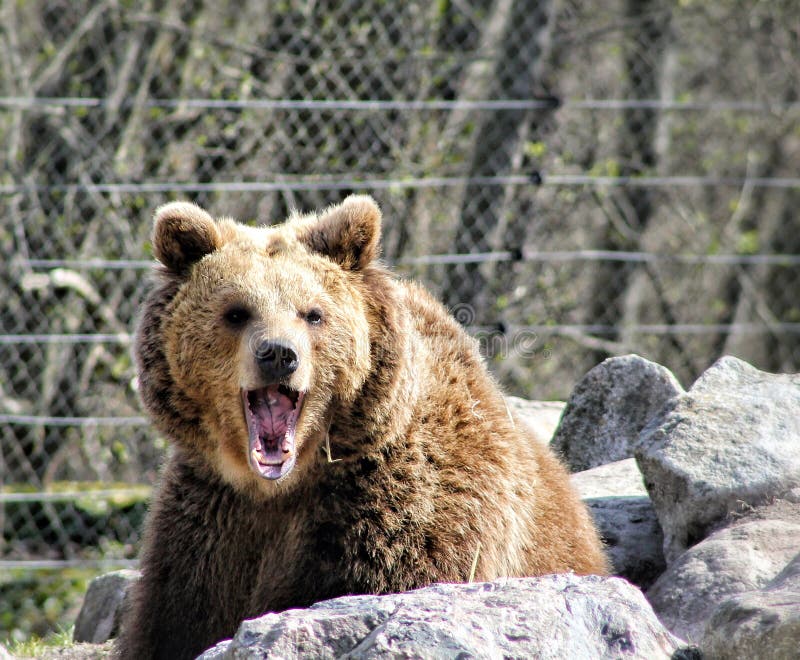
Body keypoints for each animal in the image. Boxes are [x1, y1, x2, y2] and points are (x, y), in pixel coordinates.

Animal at [117, 195, 608, 660]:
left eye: (313, 313)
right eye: (236, 312)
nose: (278, 354)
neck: (281, 487)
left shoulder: (399, 516)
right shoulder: (208, 524)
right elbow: (177, 622)